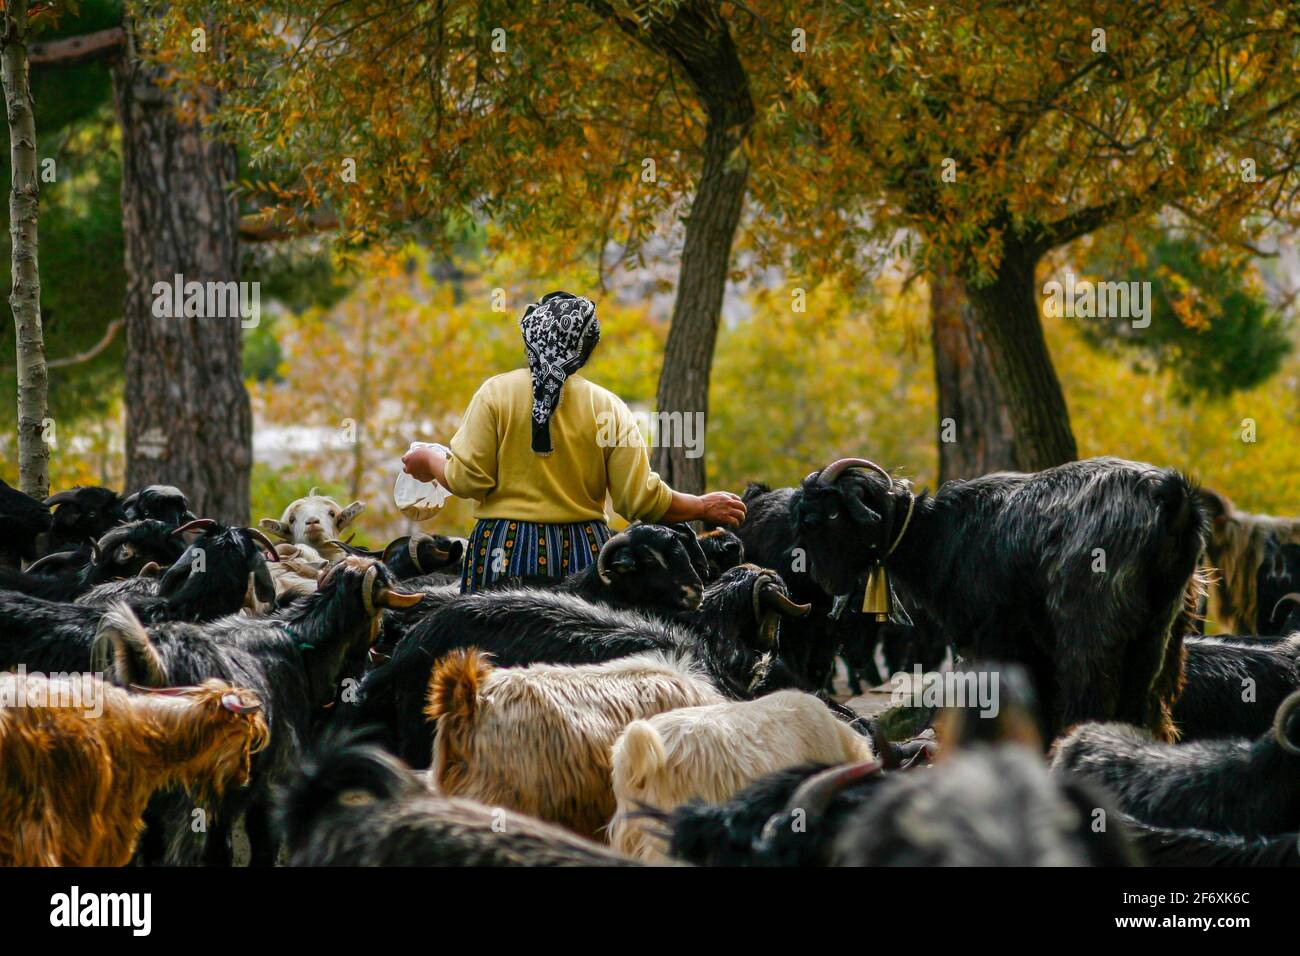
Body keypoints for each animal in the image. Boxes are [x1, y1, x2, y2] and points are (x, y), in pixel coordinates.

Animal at [92, 556, 422, 865]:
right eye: (378, 616)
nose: (378, 648)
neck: (301, 643)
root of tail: (148, 664)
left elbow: (222, 848)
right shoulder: (273, 778)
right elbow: (264, 842)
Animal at [790, 456, 1206, 741]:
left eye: (816, 518)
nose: (821, 580)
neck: (936, 532)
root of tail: (1169, 495)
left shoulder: (992, 639)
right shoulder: (1030, 647)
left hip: (1090, 624)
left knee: (1091, 698)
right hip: (1162, 633)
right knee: (1145, 705)